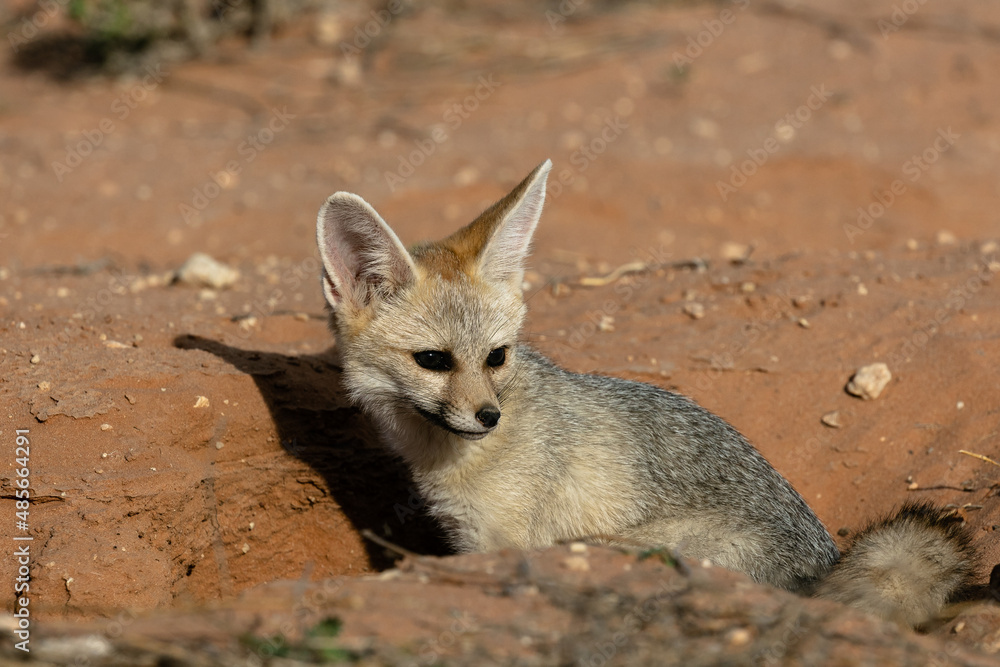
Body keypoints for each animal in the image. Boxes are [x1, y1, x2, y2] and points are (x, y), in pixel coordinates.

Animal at [315, 159, 977, 627]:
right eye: (433, 360)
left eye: (496, 357)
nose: (488, 416)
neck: (448, 459)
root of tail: (824, 563)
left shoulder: (503, 543)